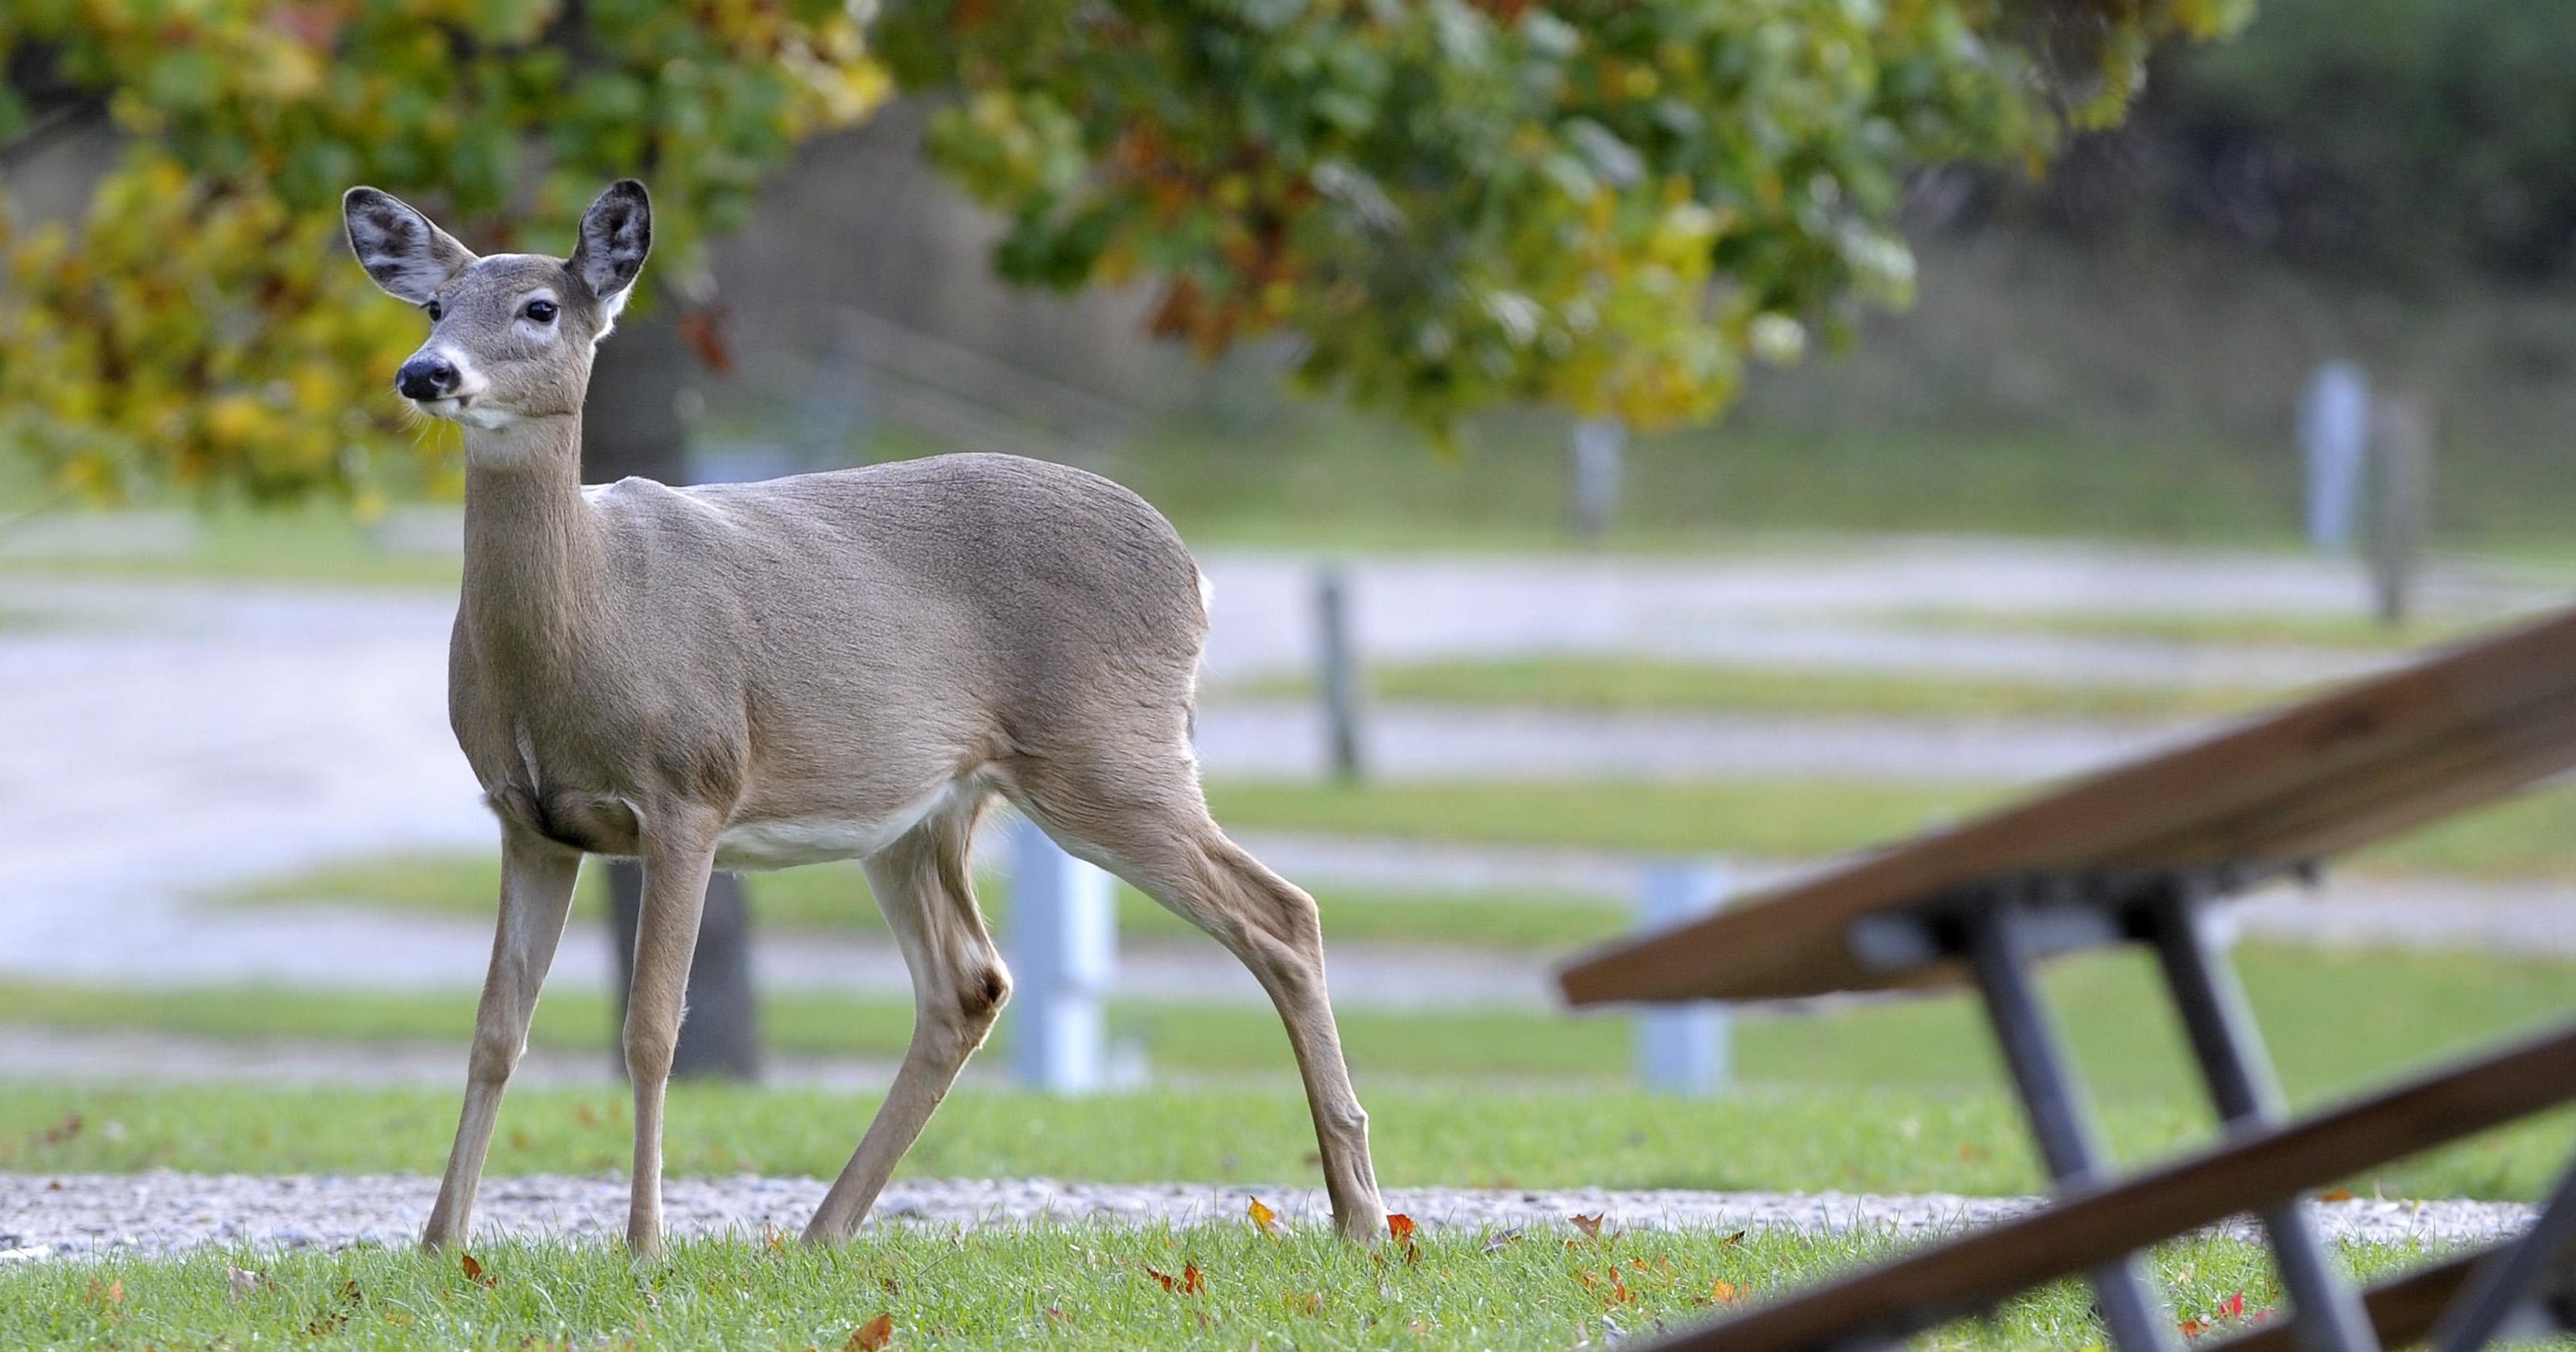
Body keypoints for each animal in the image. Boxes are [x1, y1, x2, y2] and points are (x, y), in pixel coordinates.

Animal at [341, 179, 1387, 1256]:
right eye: (434, 306)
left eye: (540, 308)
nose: (425, 372)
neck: (588, 616)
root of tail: (1193, 572)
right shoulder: (527, 819)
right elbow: (496, 1029)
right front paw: (438, 1244)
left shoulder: (689, 790)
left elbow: (652, 1027)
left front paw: (643, 1245)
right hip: (924, 811)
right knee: (969, 982)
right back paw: (822, 1233)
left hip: (1109, 752)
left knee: (1281, 913)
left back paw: (1359, 1213)